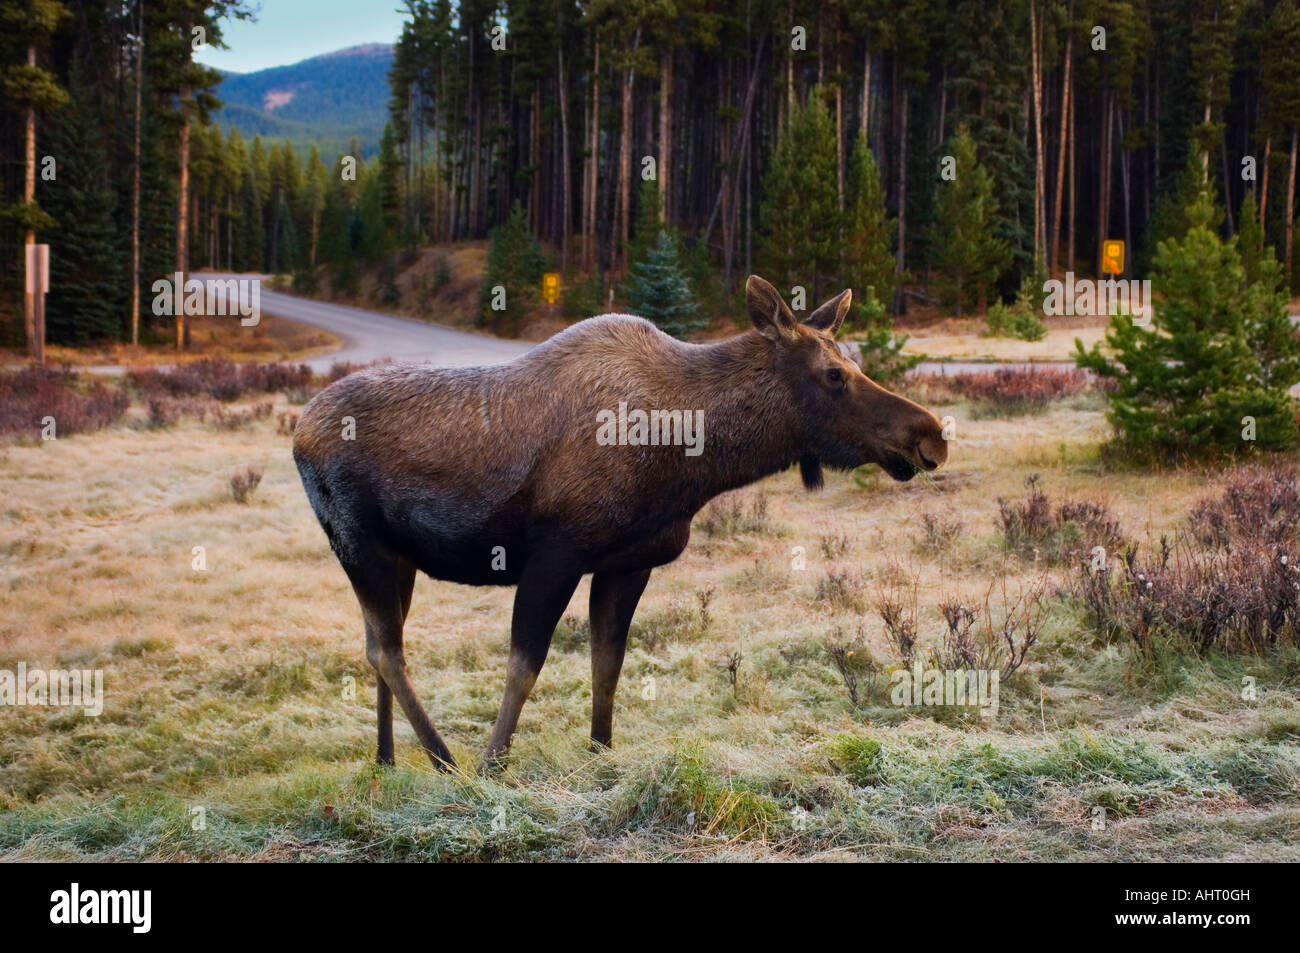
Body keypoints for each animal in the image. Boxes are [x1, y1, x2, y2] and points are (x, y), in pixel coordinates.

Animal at [292, 275, 948, 770]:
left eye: (854, 363)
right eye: (834, 374)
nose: (932, 436)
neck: (690, 459)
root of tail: (298, 432)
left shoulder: (628, 563)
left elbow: (608, 665)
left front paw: (601, 754)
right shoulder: (556, 554)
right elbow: (525, 666)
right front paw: (494, 764)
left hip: (396, 556)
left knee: (379, 642)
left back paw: (386, 760)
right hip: (359, 543)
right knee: (387, 649)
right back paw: (445, 758)